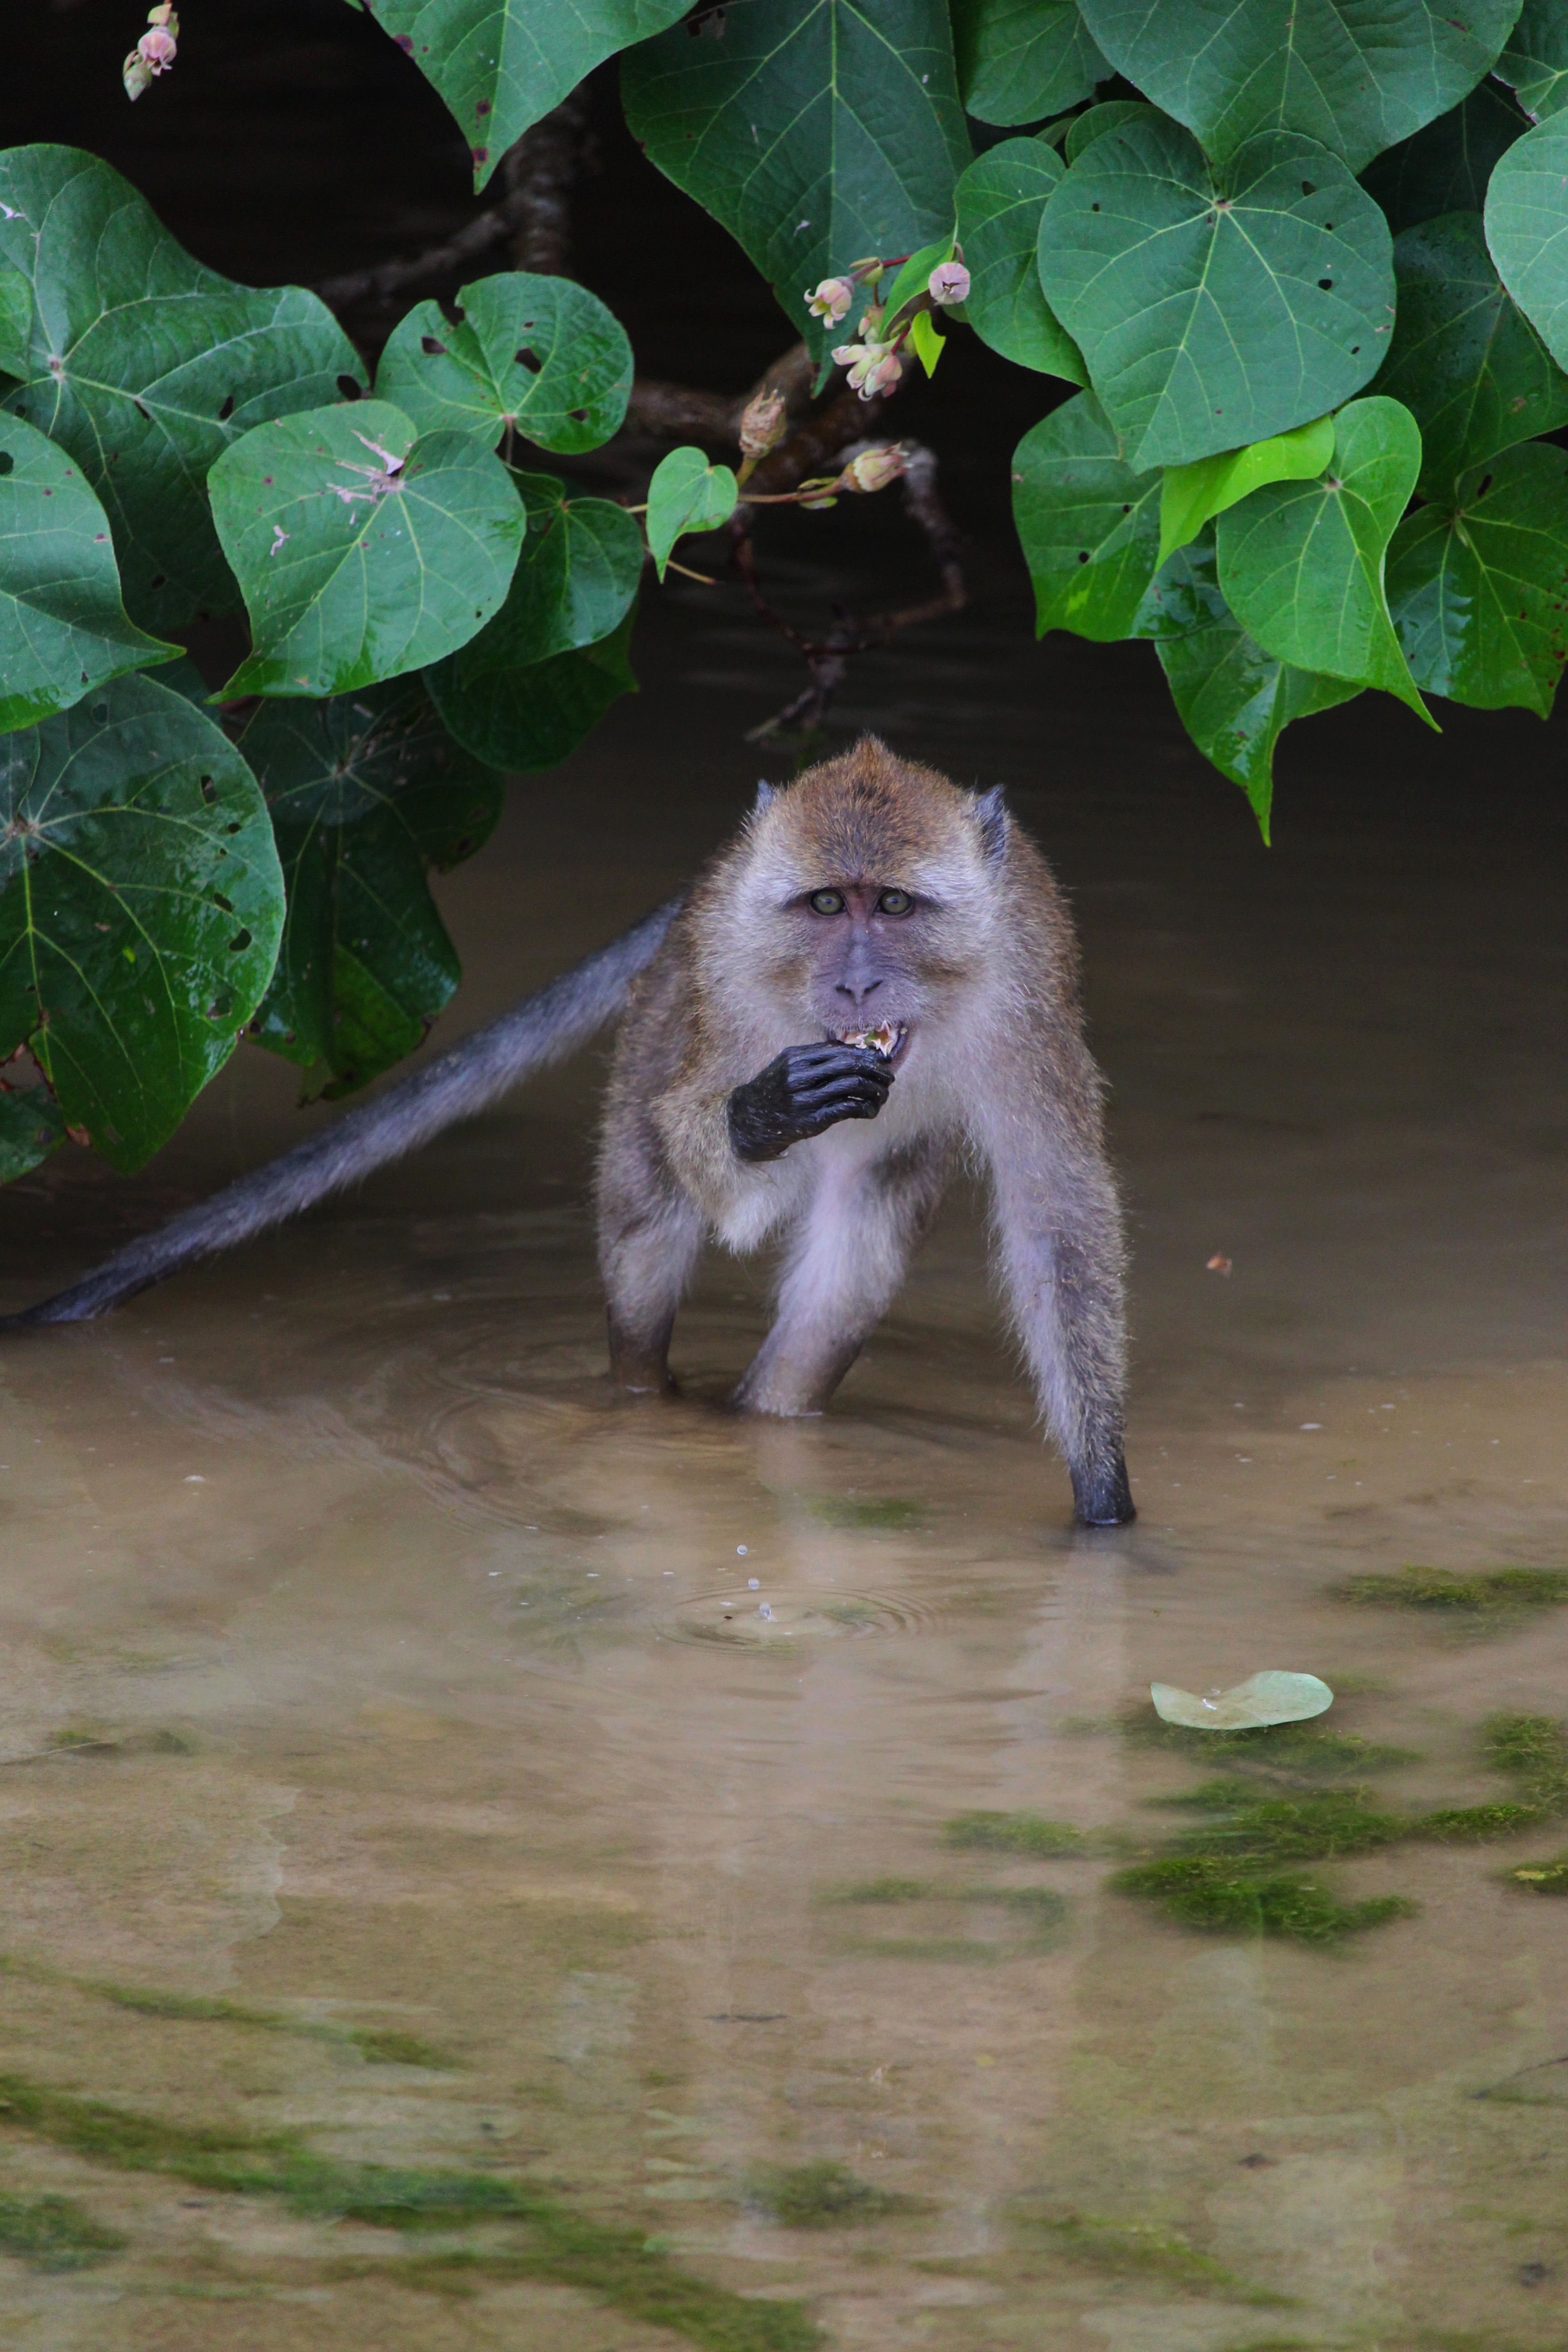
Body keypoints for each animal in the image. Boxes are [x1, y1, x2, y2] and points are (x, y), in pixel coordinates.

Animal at [5, 738, 1134, 1528]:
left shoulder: (1027, 1012)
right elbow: (706, 1178)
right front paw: (764, 1115)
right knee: (645, 1220)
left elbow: (1056, 1223)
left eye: (893, 904)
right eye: (825, 906)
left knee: (858, 1245)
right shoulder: (727, 989)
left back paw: (762, 1415)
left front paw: (1103, 1489)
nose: (856, 984)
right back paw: (645, 1403)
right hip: (672, 986)